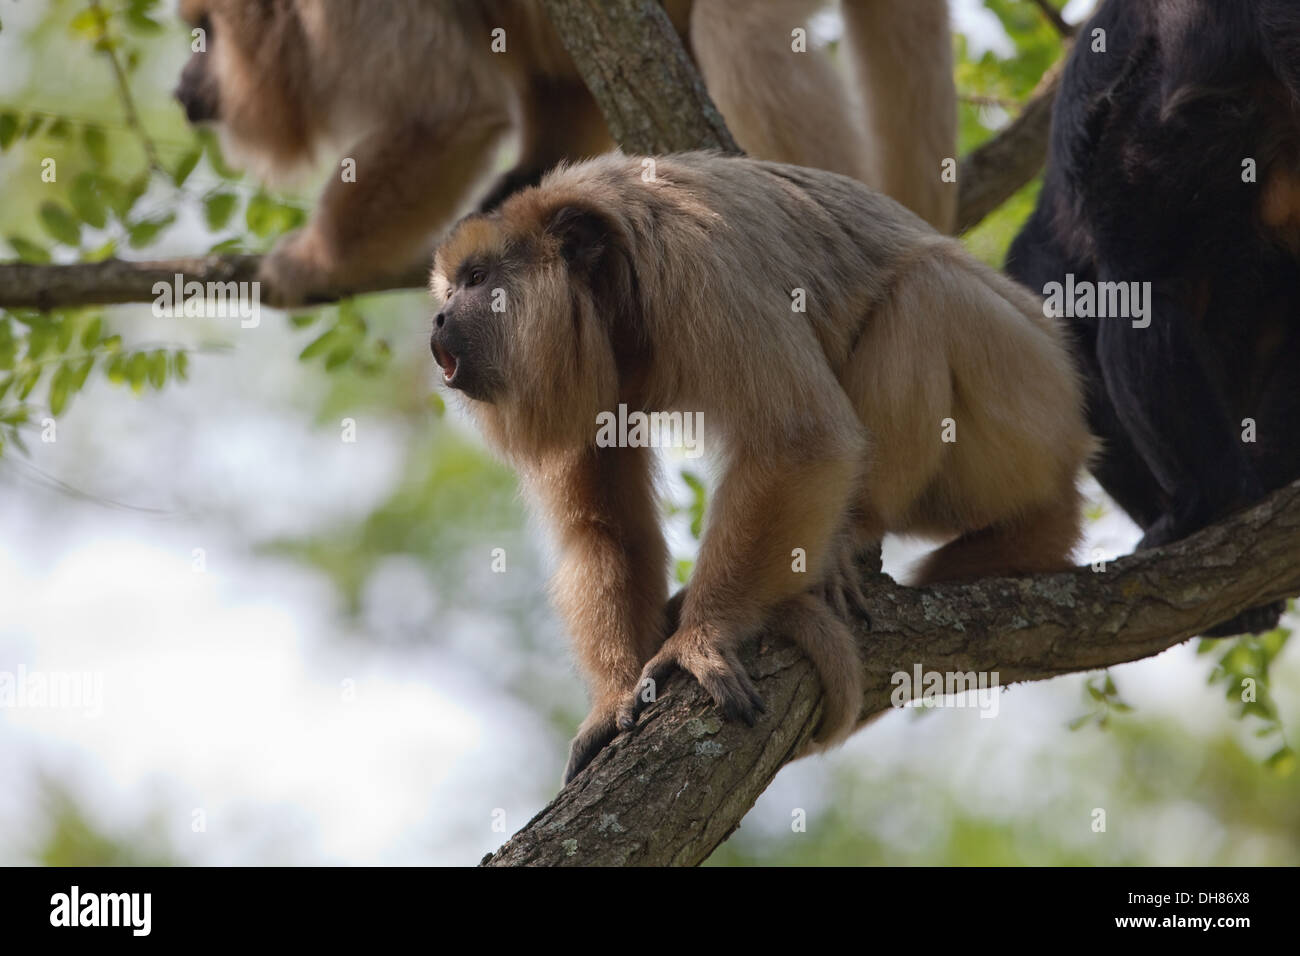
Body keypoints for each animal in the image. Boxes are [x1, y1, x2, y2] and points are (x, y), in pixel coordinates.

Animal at [173, 0, 956, 307]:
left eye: (204, 30)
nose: (180, 85)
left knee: (741, 36)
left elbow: (447, 112)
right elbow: (571, 79)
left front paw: (312, 262)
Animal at [429, 152, 1093, 782]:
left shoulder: (701, 261)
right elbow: (604, 529)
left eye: (478, 279)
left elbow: (799, 437)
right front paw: (613, 695)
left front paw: (703, 636)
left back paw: (848, 538)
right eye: (451, 289)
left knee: (927, 289)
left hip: (1028, 406)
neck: (612, 291)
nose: (437, 318)